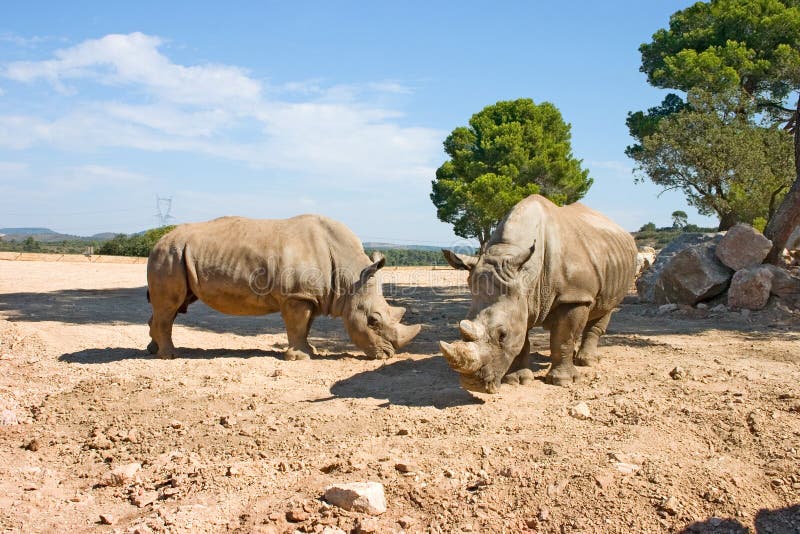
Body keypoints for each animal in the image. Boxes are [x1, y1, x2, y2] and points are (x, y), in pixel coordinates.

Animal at [146, 215, 421, 360]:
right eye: (373, 321)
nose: (388, 354)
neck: (351, 275)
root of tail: (159, 240)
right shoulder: (296, 296)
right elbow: (297, 326)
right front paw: (299, 357)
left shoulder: (311, 297)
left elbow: (306, 327)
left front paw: (311, 351)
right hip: (169, 254)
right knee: (169, 307)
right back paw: (170, 356)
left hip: (177, 255)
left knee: (172, 306)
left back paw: (153, 350)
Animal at [439, 195, 637, 392]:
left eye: (502, 335)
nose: (472, 384)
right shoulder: (522, 299)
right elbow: (522, 341)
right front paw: (518, 380)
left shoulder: (574, 295)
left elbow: (564, 337)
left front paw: (562, 381)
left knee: (606, 308)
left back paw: (587, 362)